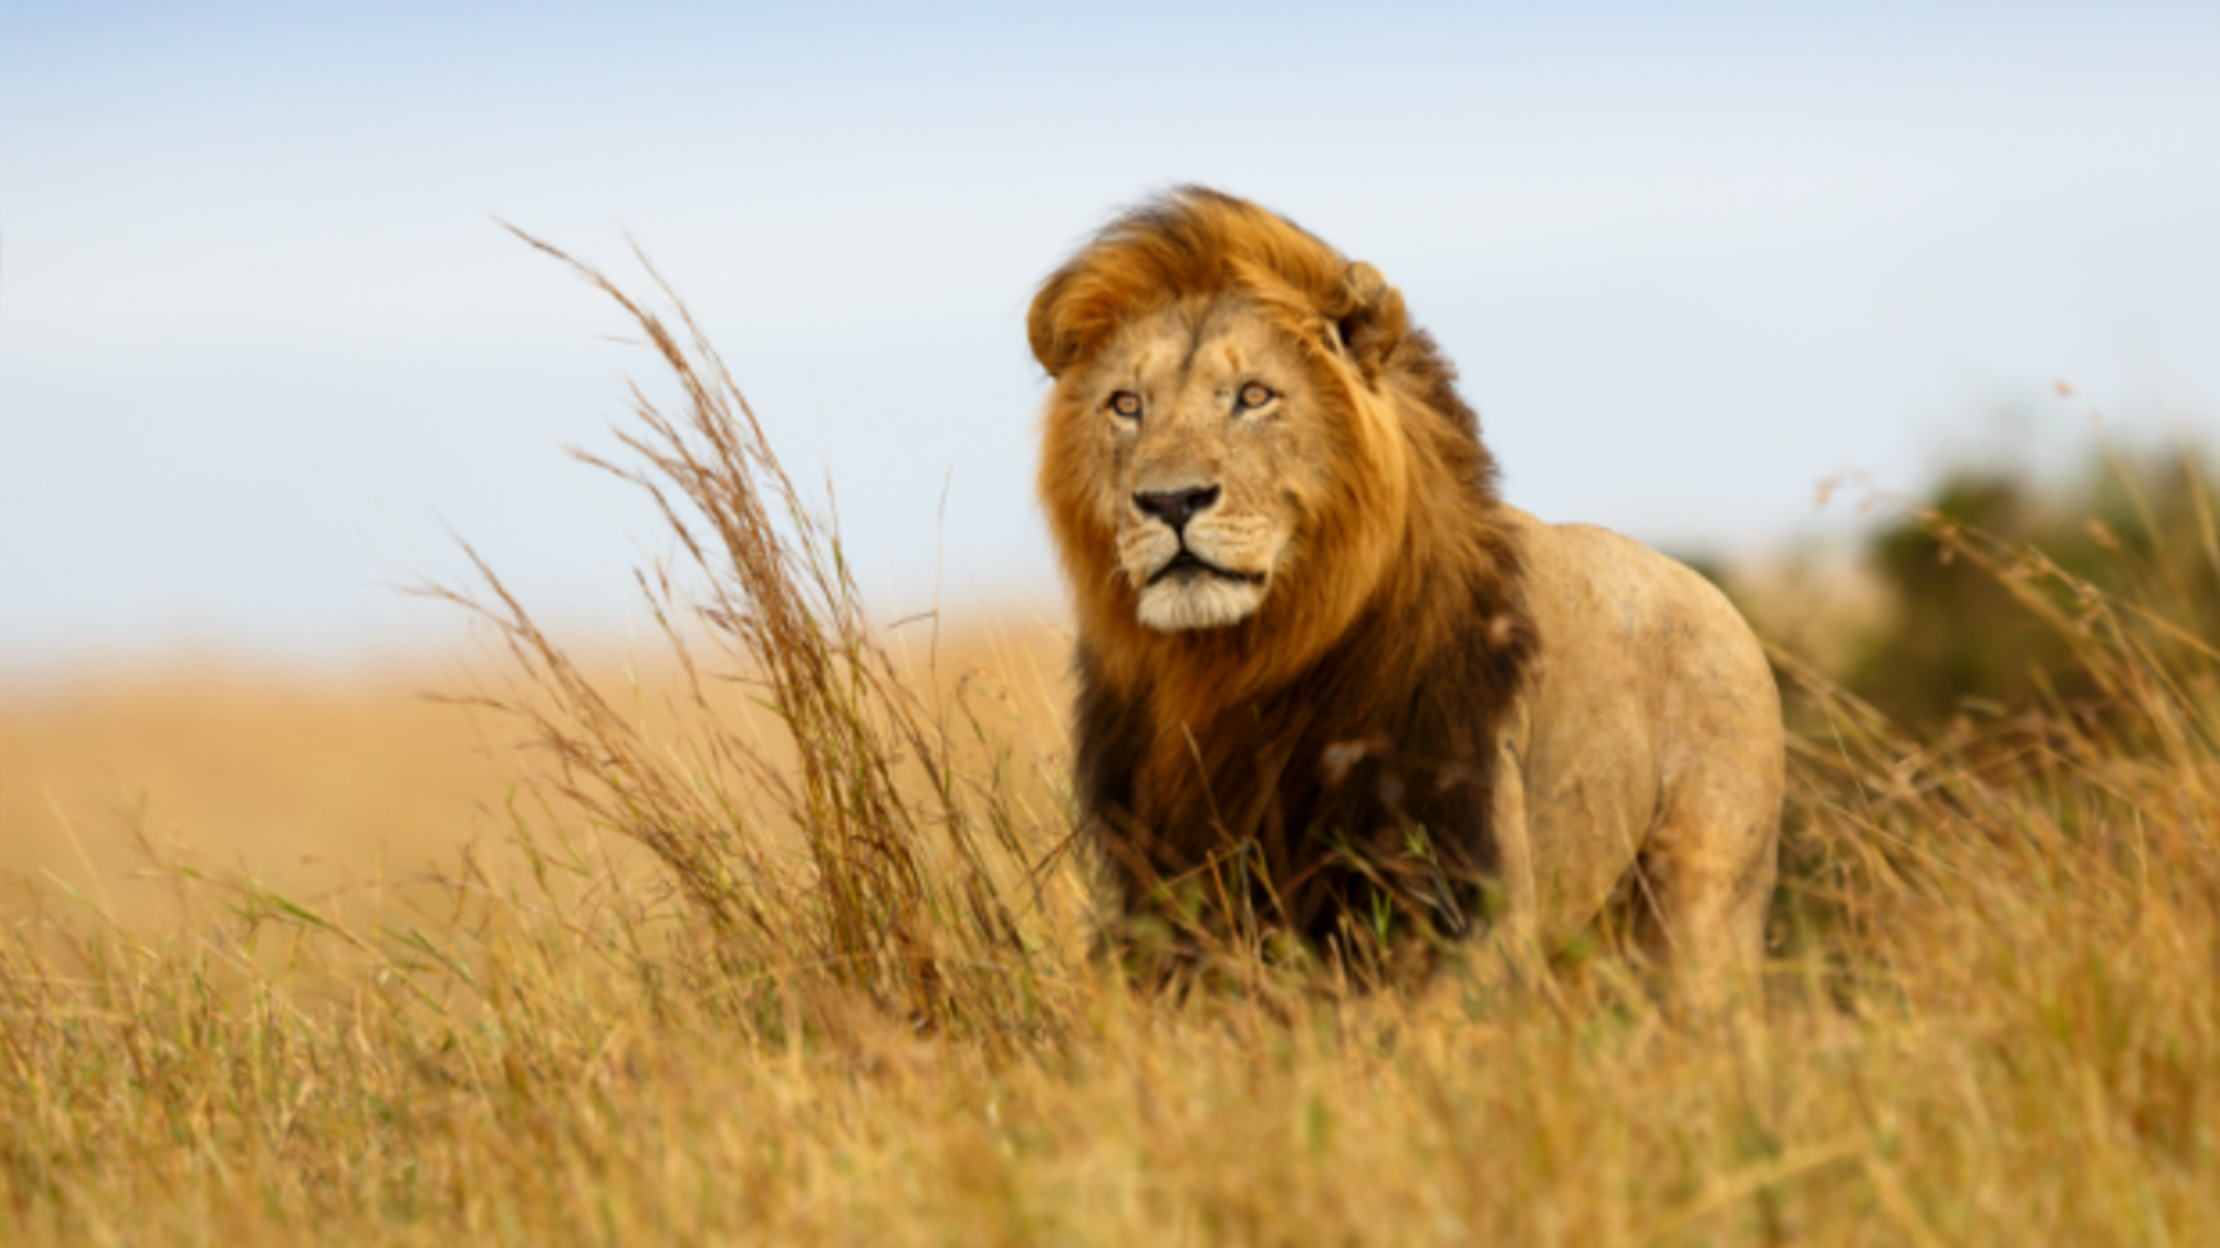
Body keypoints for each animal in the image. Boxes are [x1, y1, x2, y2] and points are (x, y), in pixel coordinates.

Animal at [1030, 188, 1784, 992]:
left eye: (1255, 396)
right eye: (1126, 405)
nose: (1170, 502)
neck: (1239, 664)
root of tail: (1724, 607)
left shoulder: (1464, 887)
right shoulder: (1167, 891)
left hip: (1704, 909)